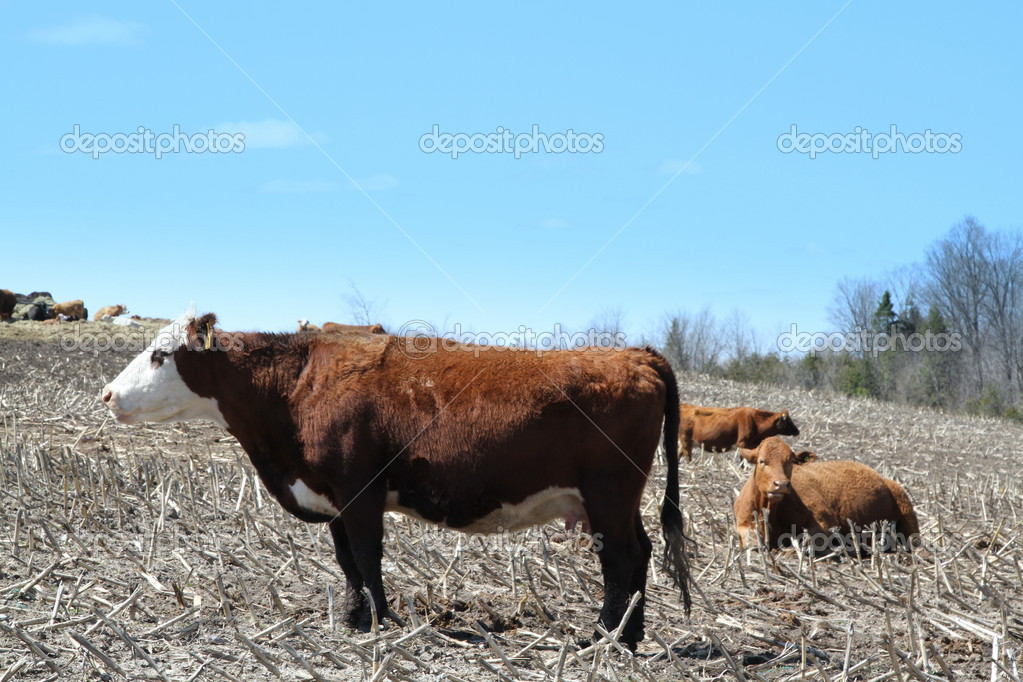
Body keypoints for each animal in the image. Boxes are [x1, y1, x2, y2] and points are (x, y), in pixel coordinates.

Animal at [101, 310, 692, 649]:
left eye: (160, 355)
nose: (107, 395)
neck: (298, 388)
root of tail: (635, 355)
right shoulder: (333, 499)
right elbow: (346, 561)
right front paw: (354, 617)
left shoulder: (359, 493)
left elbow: (366, 557)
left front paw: (380, 620)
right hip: (611, 501)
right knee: (637, 554)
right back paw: (626, 635)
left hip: (609, 495)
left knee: (623, 559)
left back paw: (607, 637)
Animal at [734, 437, 920, 553]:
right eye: (762, 461)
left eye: (791, 461)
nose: (781, 484)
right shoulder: (743, 522)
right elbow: (752, 540)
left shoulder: (824, 522)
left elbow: (809, 541)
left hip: (908, 517)